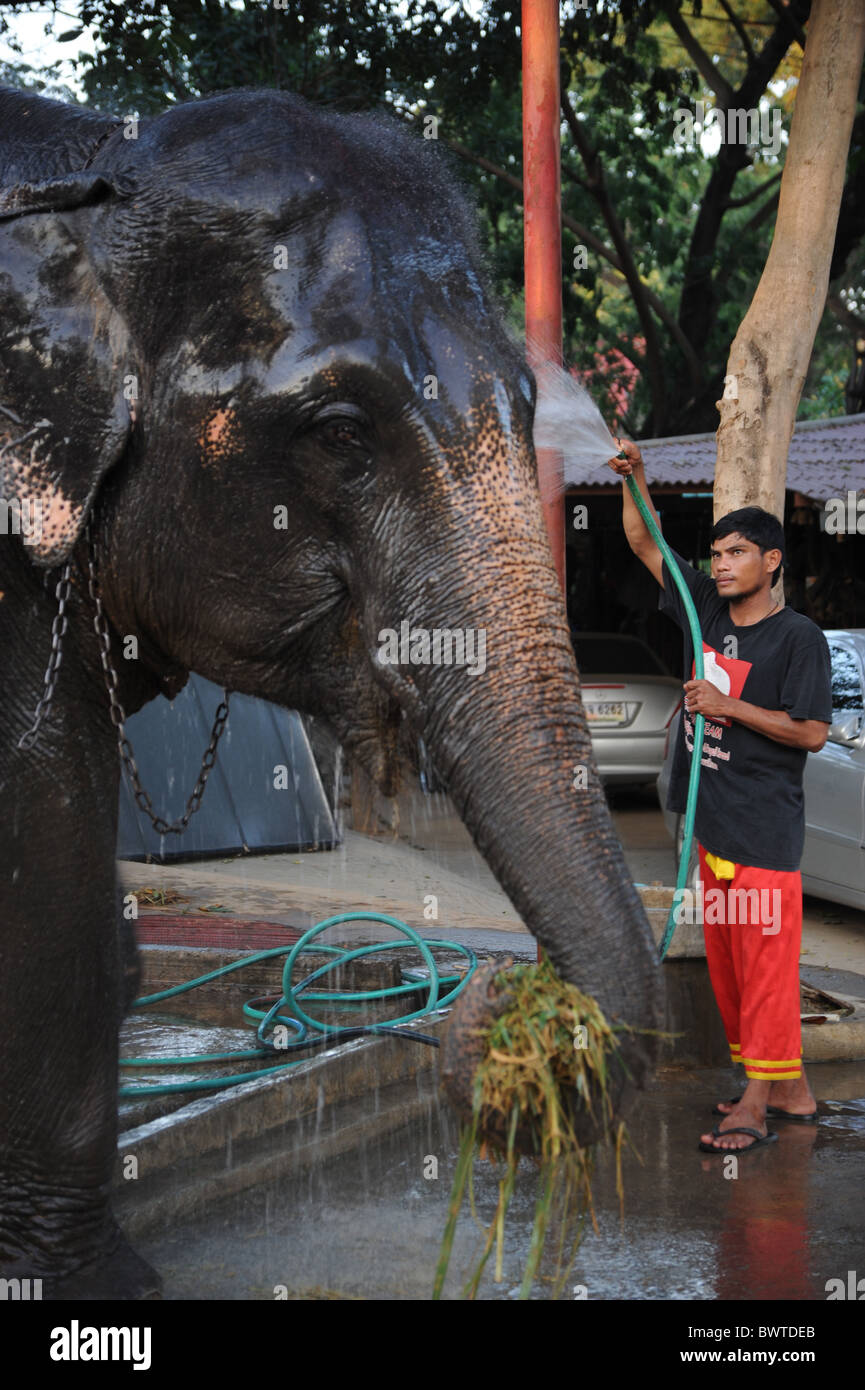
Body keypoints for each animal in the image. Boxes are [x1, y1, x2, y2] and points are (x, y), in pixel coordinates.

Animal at [0, 85, 662, 1299]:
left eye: (529, 406)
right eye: (342, 434)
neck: (97, 159)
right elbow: (48, 831)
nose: (494, 1002)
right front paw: (95, 1289)